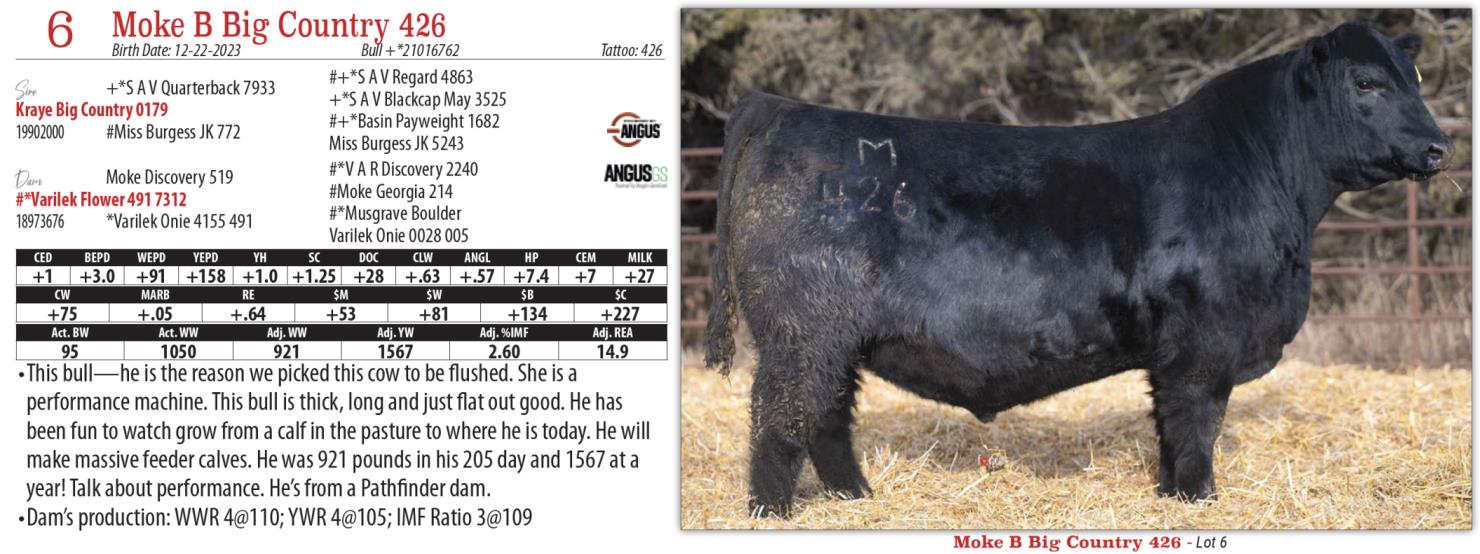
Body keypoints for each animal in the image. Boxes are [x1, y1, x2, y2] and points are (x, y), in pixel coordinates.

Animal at [703, 22, 1454, 518]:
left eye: (1413, 79)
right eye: (1366, 83)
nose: (1439, 147)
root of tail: (783, 108)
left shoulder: (1176, 350)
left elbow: (1168, 426)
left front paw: (1170, 495)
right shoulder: (1204, 344)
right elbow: (1196, 424)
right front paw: (1199, 499)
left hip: (834, 339)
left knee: (827, 417)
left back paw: (858, 499)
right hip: (803, 334)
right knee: (780, 421)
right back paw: (774, 513)